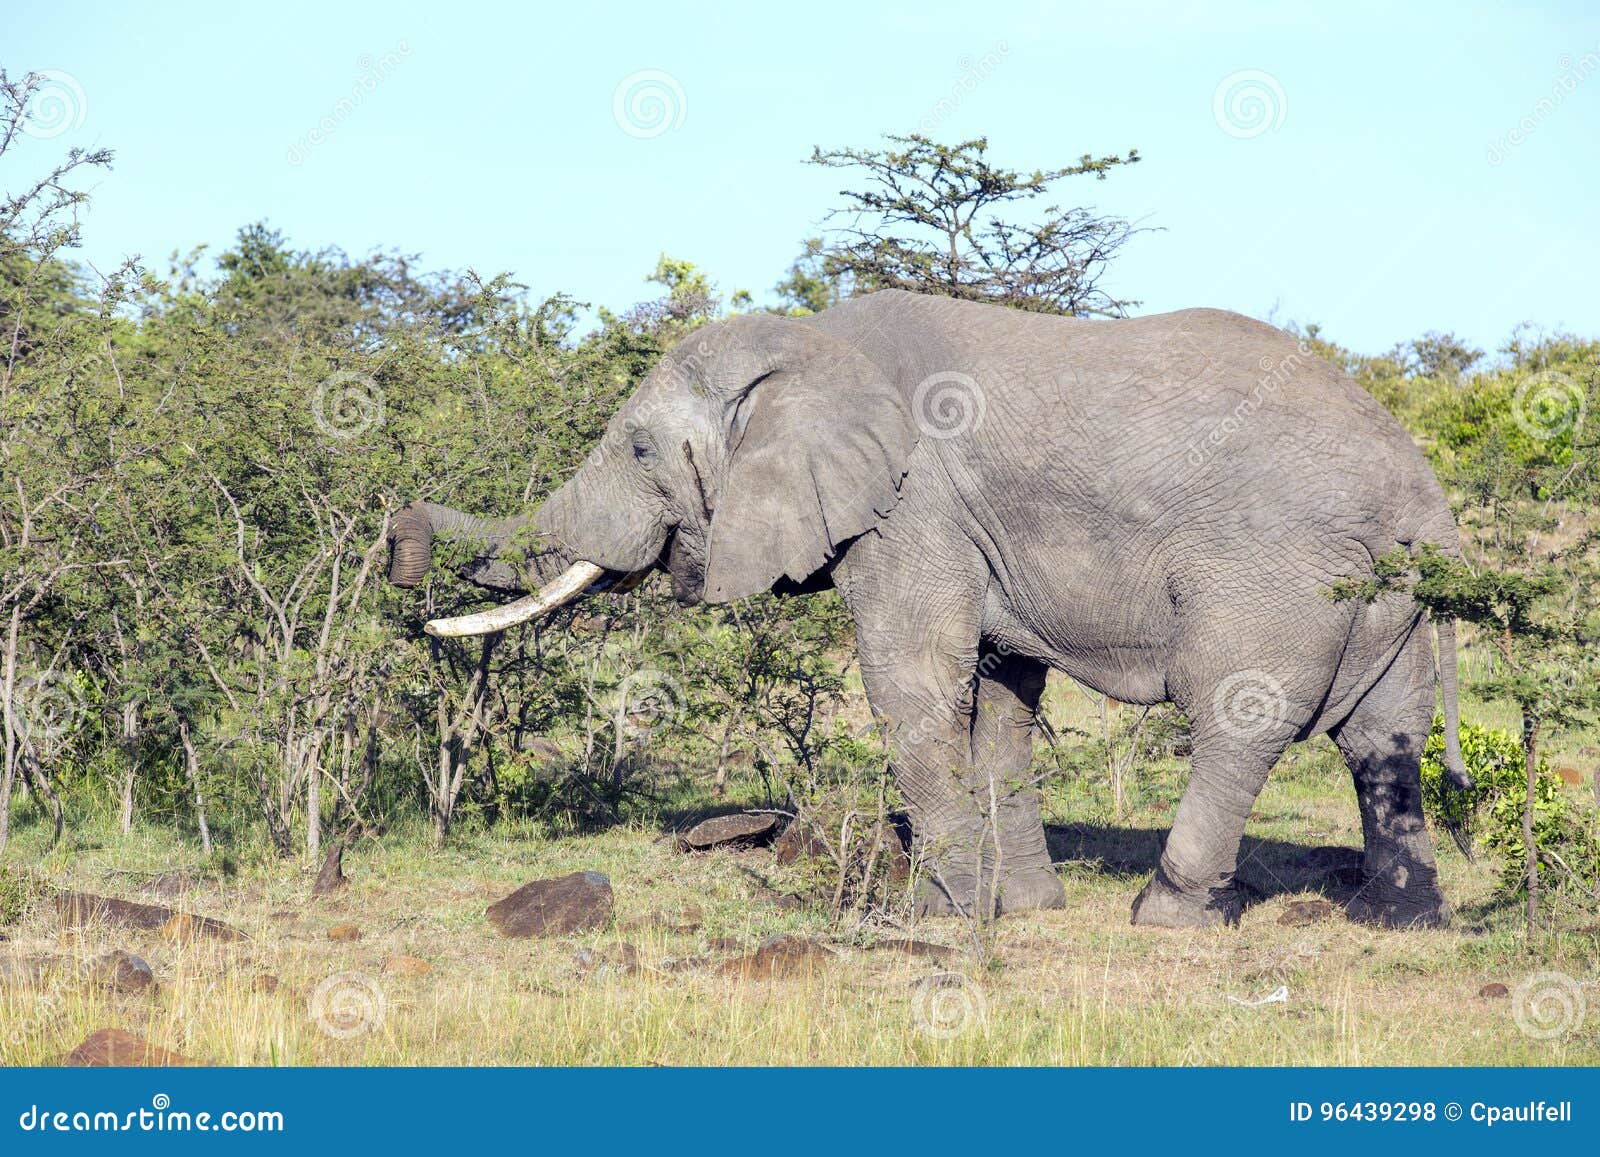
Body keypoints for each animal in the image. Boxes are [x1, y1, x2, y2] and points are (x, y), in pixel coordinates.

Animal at [388, 289, 1471, 929]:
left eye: (643, 451)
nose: (398, 537)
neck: (810, 344)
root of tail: (1427, 498)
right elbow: (998, 700)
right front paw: (1025, 910)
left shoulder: (912, 506)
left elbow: (912, 681)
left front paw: (945, 916)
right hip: (1389, 598)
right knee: (1385, 737)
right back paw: (1403, 917)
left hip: (1277, 571)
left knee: (1238, 718)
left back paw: (1162, 914)